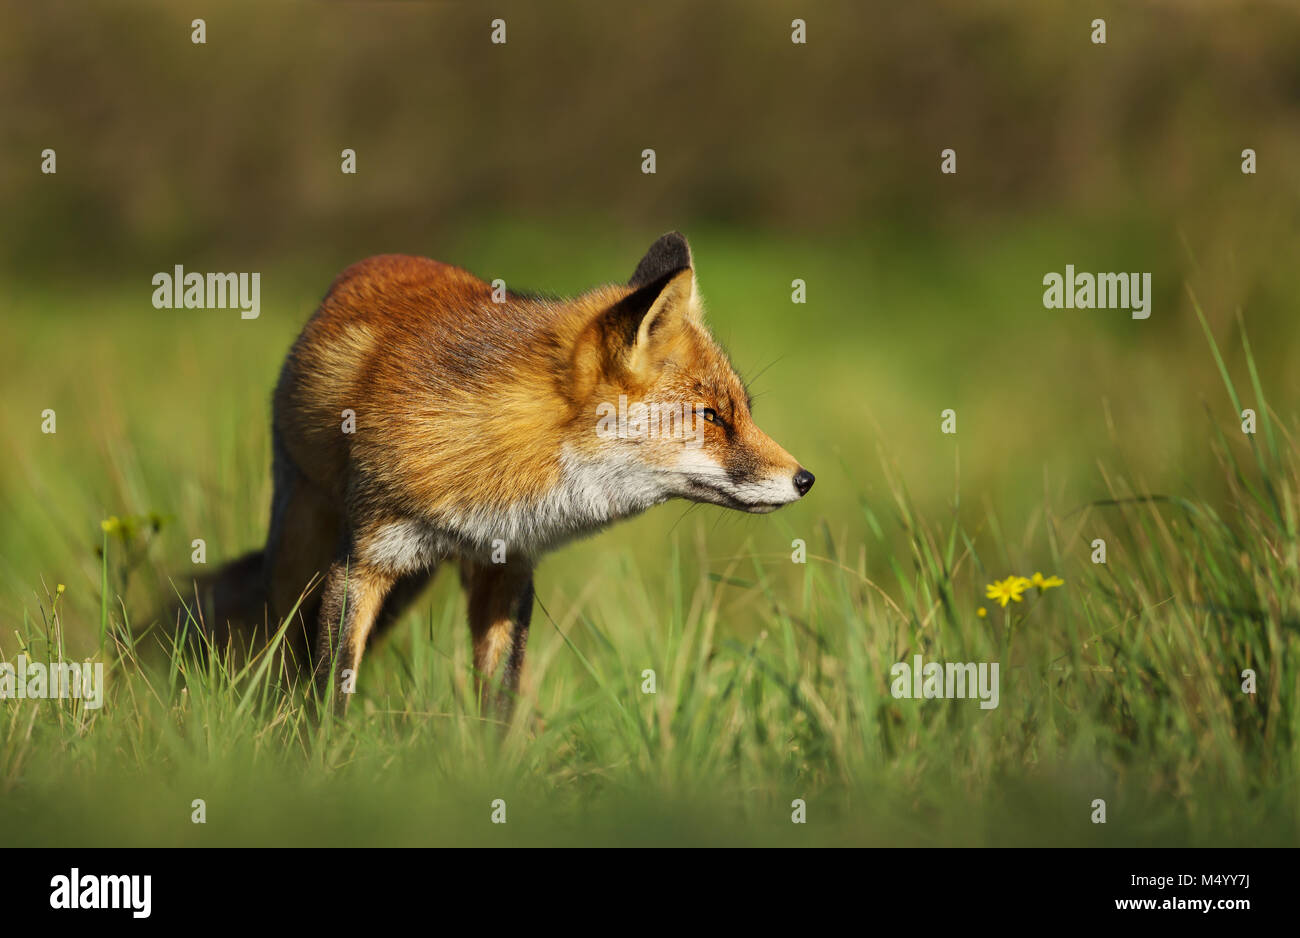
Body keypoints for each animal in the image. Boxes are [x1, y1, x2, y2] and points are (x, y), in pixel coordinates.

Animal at [186, 232, 814, 717]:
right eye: (711, 417)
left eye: (742, 412)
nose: (805, 479)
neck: (502, 467)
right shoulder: (362, 561)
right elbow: (331, 692)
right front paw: (321, 761)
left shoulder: (508, 568)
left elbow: (498, 705)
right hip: (304, 554)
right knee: (281, 645)